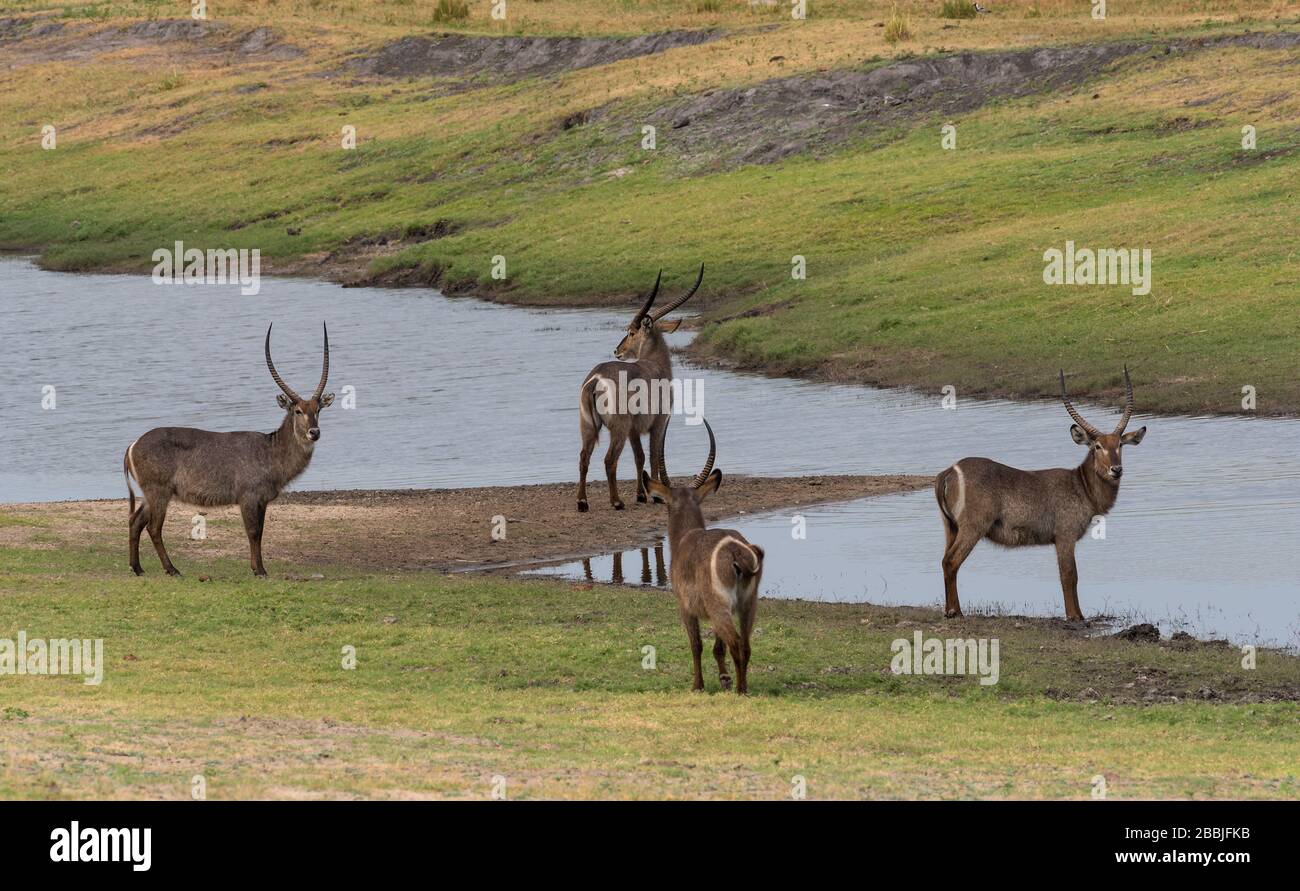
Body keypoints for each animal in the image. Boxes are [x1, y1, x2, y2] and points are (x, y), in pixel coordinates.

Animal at [124, 323, 334, 577]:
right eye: (298, 411)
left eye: (318, 409)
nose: (314, 432)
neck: (271, 450)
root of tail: (133, 444)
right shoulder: (248, 497)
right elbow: (253, 532)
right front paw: (259, 570)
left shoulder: (263, 500)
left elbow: (261, 532)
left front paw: (258, 567)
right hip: (159, 492)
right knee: (154, 528)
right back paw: (172, 569)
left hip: (149, 494)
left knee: (135, 522)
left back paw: (137, 568)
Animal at [577, 265, 704, 512]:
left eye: (631, 332)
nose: (617, 350)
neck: (654, 364)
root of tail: (596, 378)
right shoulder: (659, 422)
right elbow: (653, 455)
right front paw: (655, 496)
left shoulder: (634, 429)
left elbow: (640, 457)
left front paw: (641, 494)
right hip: (618, 427)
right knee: (609, 459)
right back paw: (616, 502)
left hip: (589, 426)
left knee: (584, 457)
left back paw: (582, 502)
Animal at [643, 419, 764, 694]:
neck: (686, 536)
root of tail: (735, 552)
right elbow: (717, 647)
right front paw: (724, 678)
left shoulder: (685, 608)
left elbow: (696, 645)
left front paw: (697, 685)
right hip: (747, 605)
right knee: (746, 644)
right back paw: (740, 686)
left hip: (720, 607)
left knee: (737, 644)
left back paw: (741, 691)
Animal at [934, 368, 1147, 621]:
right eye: (1097, 446)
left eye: (1120, 445)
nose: (1116, 469)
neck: (1081, 485)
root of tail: (949, 470)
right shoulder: (1065, 535)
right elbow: (1069, 575)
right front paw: (1075, 616)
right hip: (972, 527)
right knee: (951, 561)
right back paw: (955, 612)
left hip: (950, 527)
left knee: (945, 560)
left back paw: (950, 609)